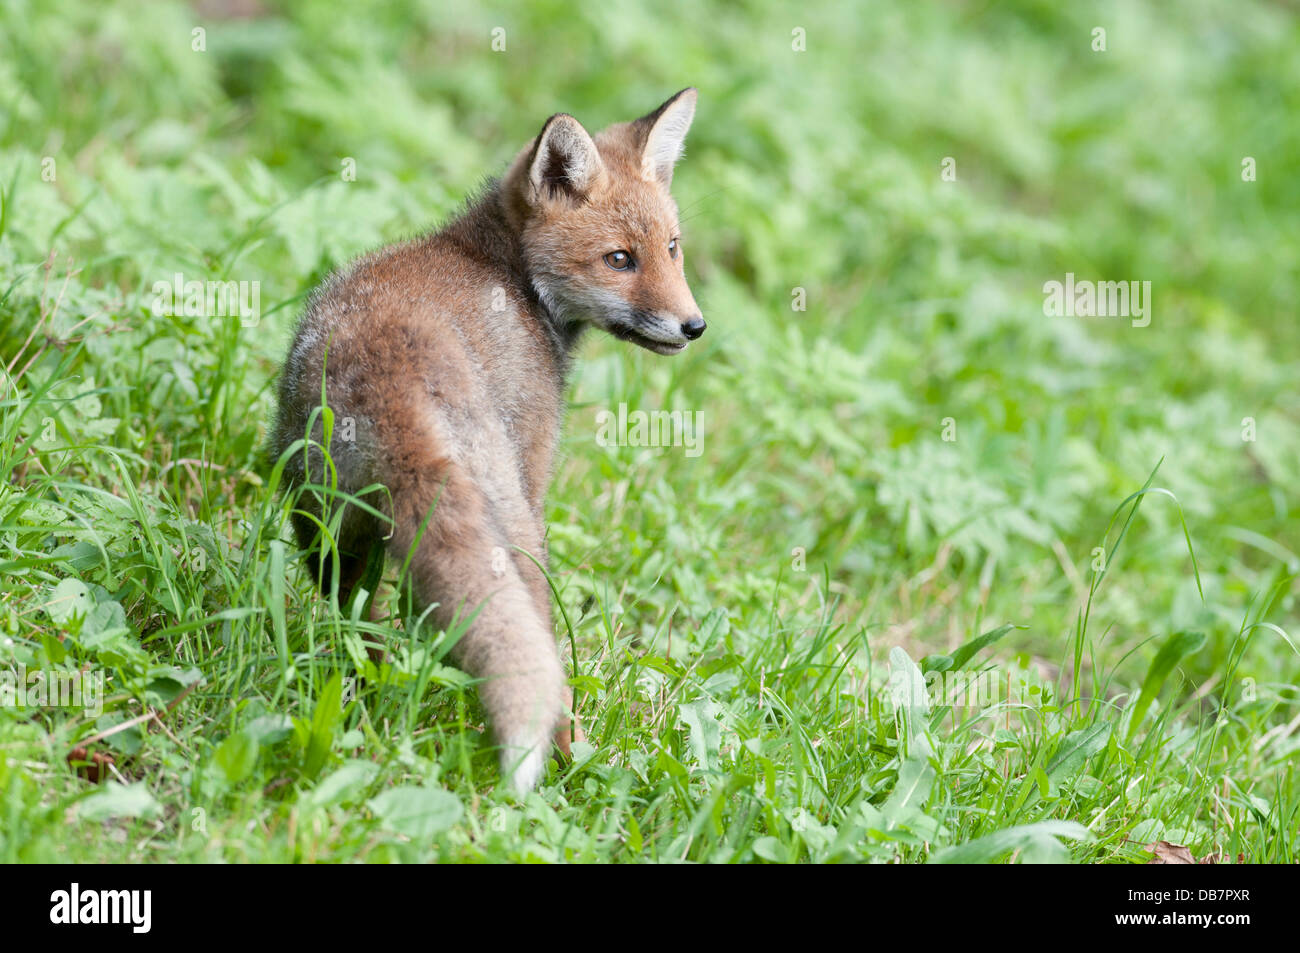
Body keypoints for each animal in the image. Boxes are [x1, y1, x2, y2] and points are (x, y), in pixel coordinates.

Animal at [270, 88, 705, 792]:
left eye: (672, 248)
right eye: (619, 259)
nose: (694, 326)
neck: (506, 273)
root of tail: (393, 386)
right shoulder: (535, 470)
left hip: (327, 528)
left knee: (358, 622)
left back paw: (367, 698)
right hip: (518, 536)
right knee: (548, 667)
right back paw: (573, 766)